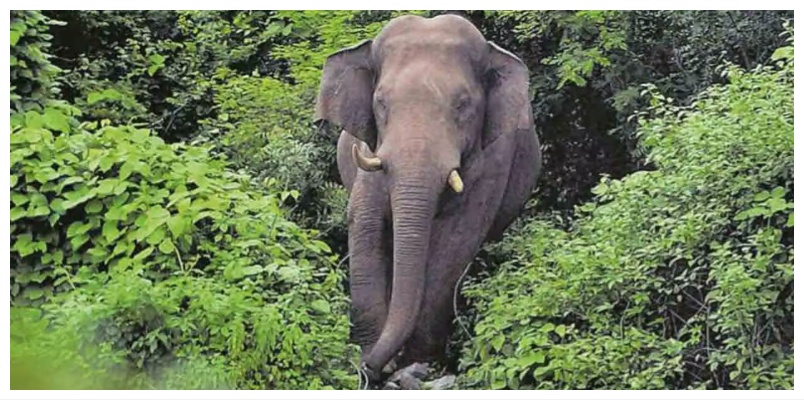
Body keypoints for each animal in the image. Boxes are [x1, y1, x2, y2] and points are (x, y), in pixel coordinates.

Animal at [314, 14, 542, 381]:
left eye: (463, 105)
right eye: (381, 102)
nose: (369, 373)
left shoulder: (495, 158)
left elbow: (457, 238)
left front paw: (416, 363)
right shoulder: (370, 149)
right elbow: (365, 223)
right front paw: (375, 355)